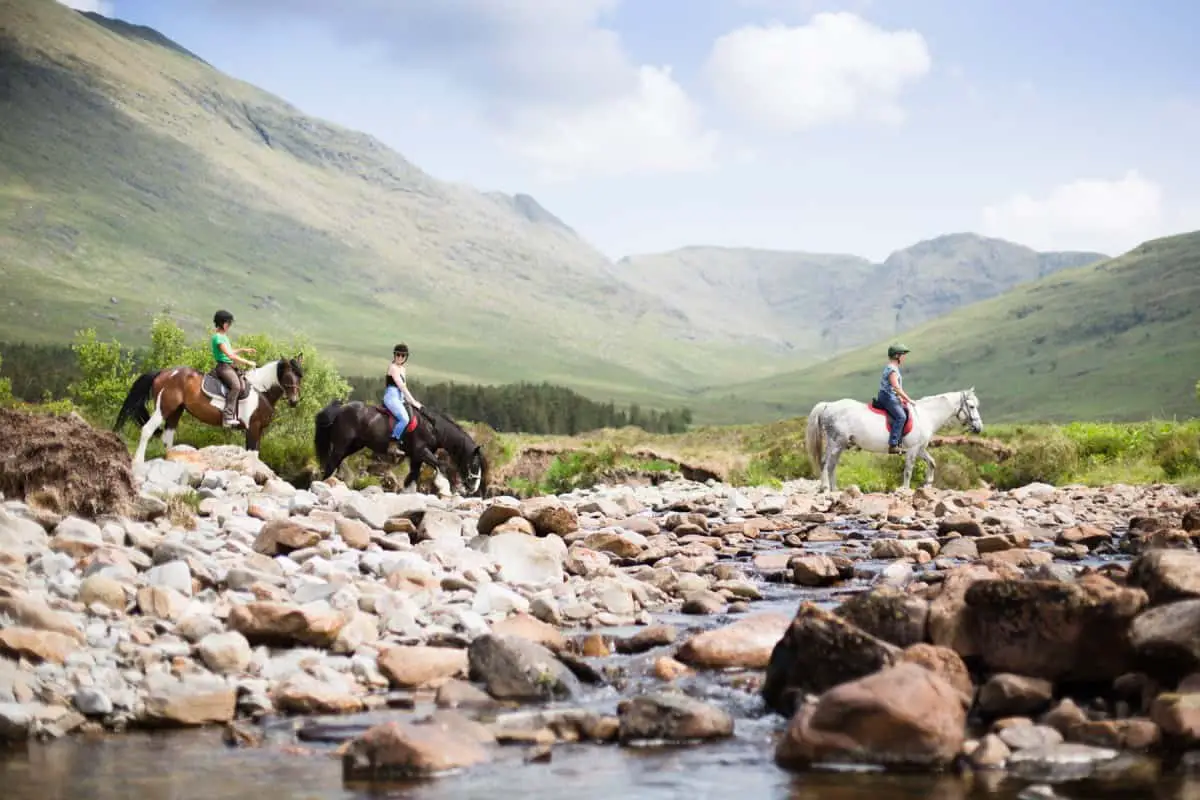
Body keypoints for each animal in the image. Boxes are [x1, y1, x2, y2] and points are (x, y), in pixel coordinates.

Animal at [114, 356, 305, 465]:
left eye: (300, 377)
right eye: (289, 376)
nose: (294, 401)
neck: (261, 391)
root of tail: (164, 372)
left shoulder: (259, 430)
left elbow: (255, 454)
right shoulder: (253, 428)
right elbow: (251, 454)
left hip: (176, 411)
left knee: (167, 437)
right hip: (164, 407)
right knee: (147, 429)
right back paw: (138, 461)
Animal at [313, 398, 488, 497]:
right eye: (474, 464)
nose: (473, 488)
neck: (433, 428)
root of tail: (341, 408)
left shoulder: (417, 457)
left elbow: (412, 476)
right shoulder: (421, 452)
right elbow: (441, 466)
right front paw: (447, 488)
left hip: (353, 445)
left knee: (335, 463)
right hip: (341, 445)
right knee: (331, 464)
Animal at [805, 388, 983, 492]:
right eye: (972, 406)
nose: (978, 428)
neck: (925, 415)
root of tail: (828, 405)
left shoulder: (920, 448)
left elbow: (932, 462)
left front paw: (928, 483)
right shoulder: (912, 449)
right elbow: (908, 470)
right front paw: (905, 490)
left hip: (840, 445)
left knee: (832, 465)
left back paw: (835, 489)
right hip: (835, 442)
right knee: (826, 463)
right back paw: (825, 487)